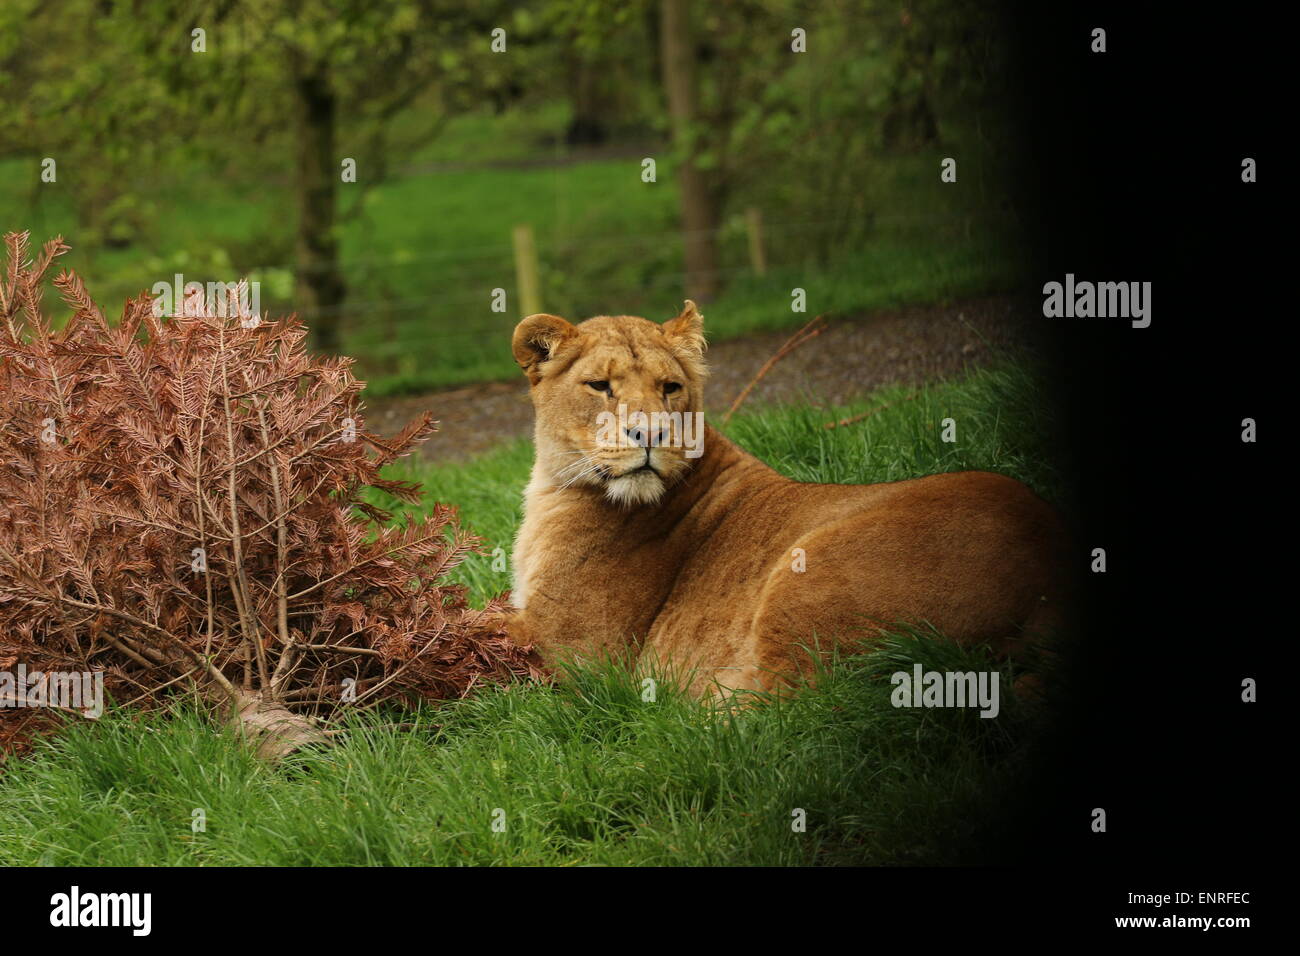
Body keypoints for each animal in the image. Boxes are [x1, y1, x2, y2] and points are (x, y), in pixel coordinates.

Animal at [505, 300, 1069, 698]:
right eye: (600, 385)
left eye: (670, 388)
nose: (653, 434)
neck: (556, 485)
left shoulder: (570, 647)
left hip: (806, 574)